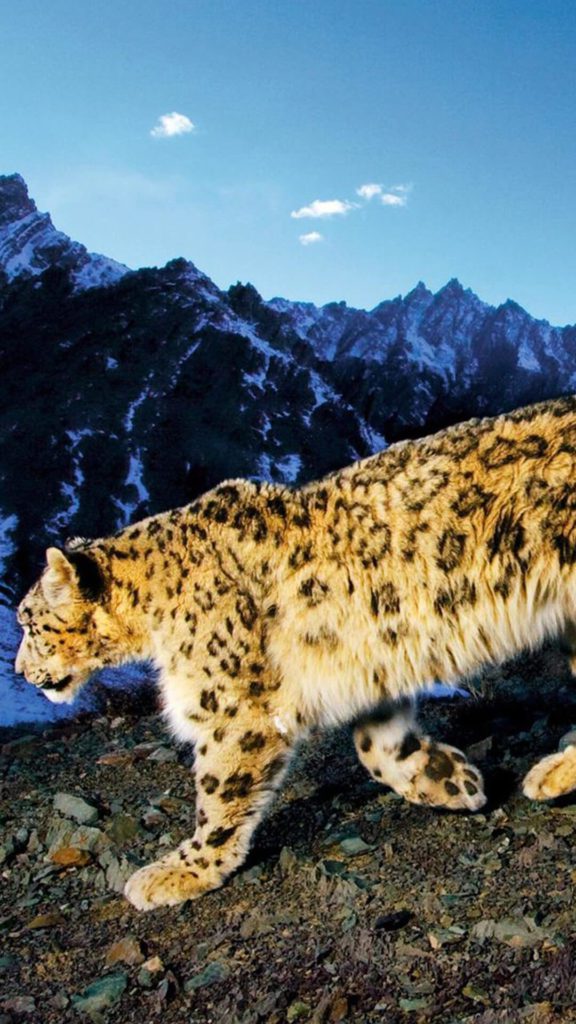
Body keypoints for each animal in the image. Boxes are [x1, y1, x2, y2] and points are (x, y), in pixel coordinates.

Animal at [14, 394, 576, 911]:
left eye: (29, 623)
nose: (19, 669)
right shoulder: (370, 666)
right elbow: (376, 747)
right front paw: (446, 778)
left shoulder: (235, 712)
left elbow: (217, 792)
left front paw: (182, 870)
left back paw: (549, 774)